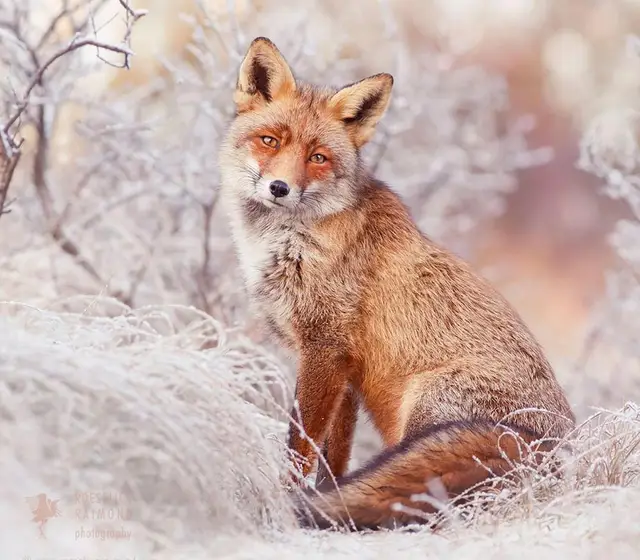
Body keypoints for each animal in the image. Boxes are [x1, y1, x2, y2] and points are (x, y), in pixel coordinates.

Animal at [218, 36, 576, 530]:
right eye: (270, 140)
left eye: (317, 158)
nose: (279, 188)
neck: (293, 243)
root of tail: (560, 454)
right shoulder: (345, 371)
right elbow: (333, 457)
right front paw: (328, 497)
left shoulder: (325, 349)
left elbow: (300, 447)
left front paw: (289, 500)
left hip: (425, 404)